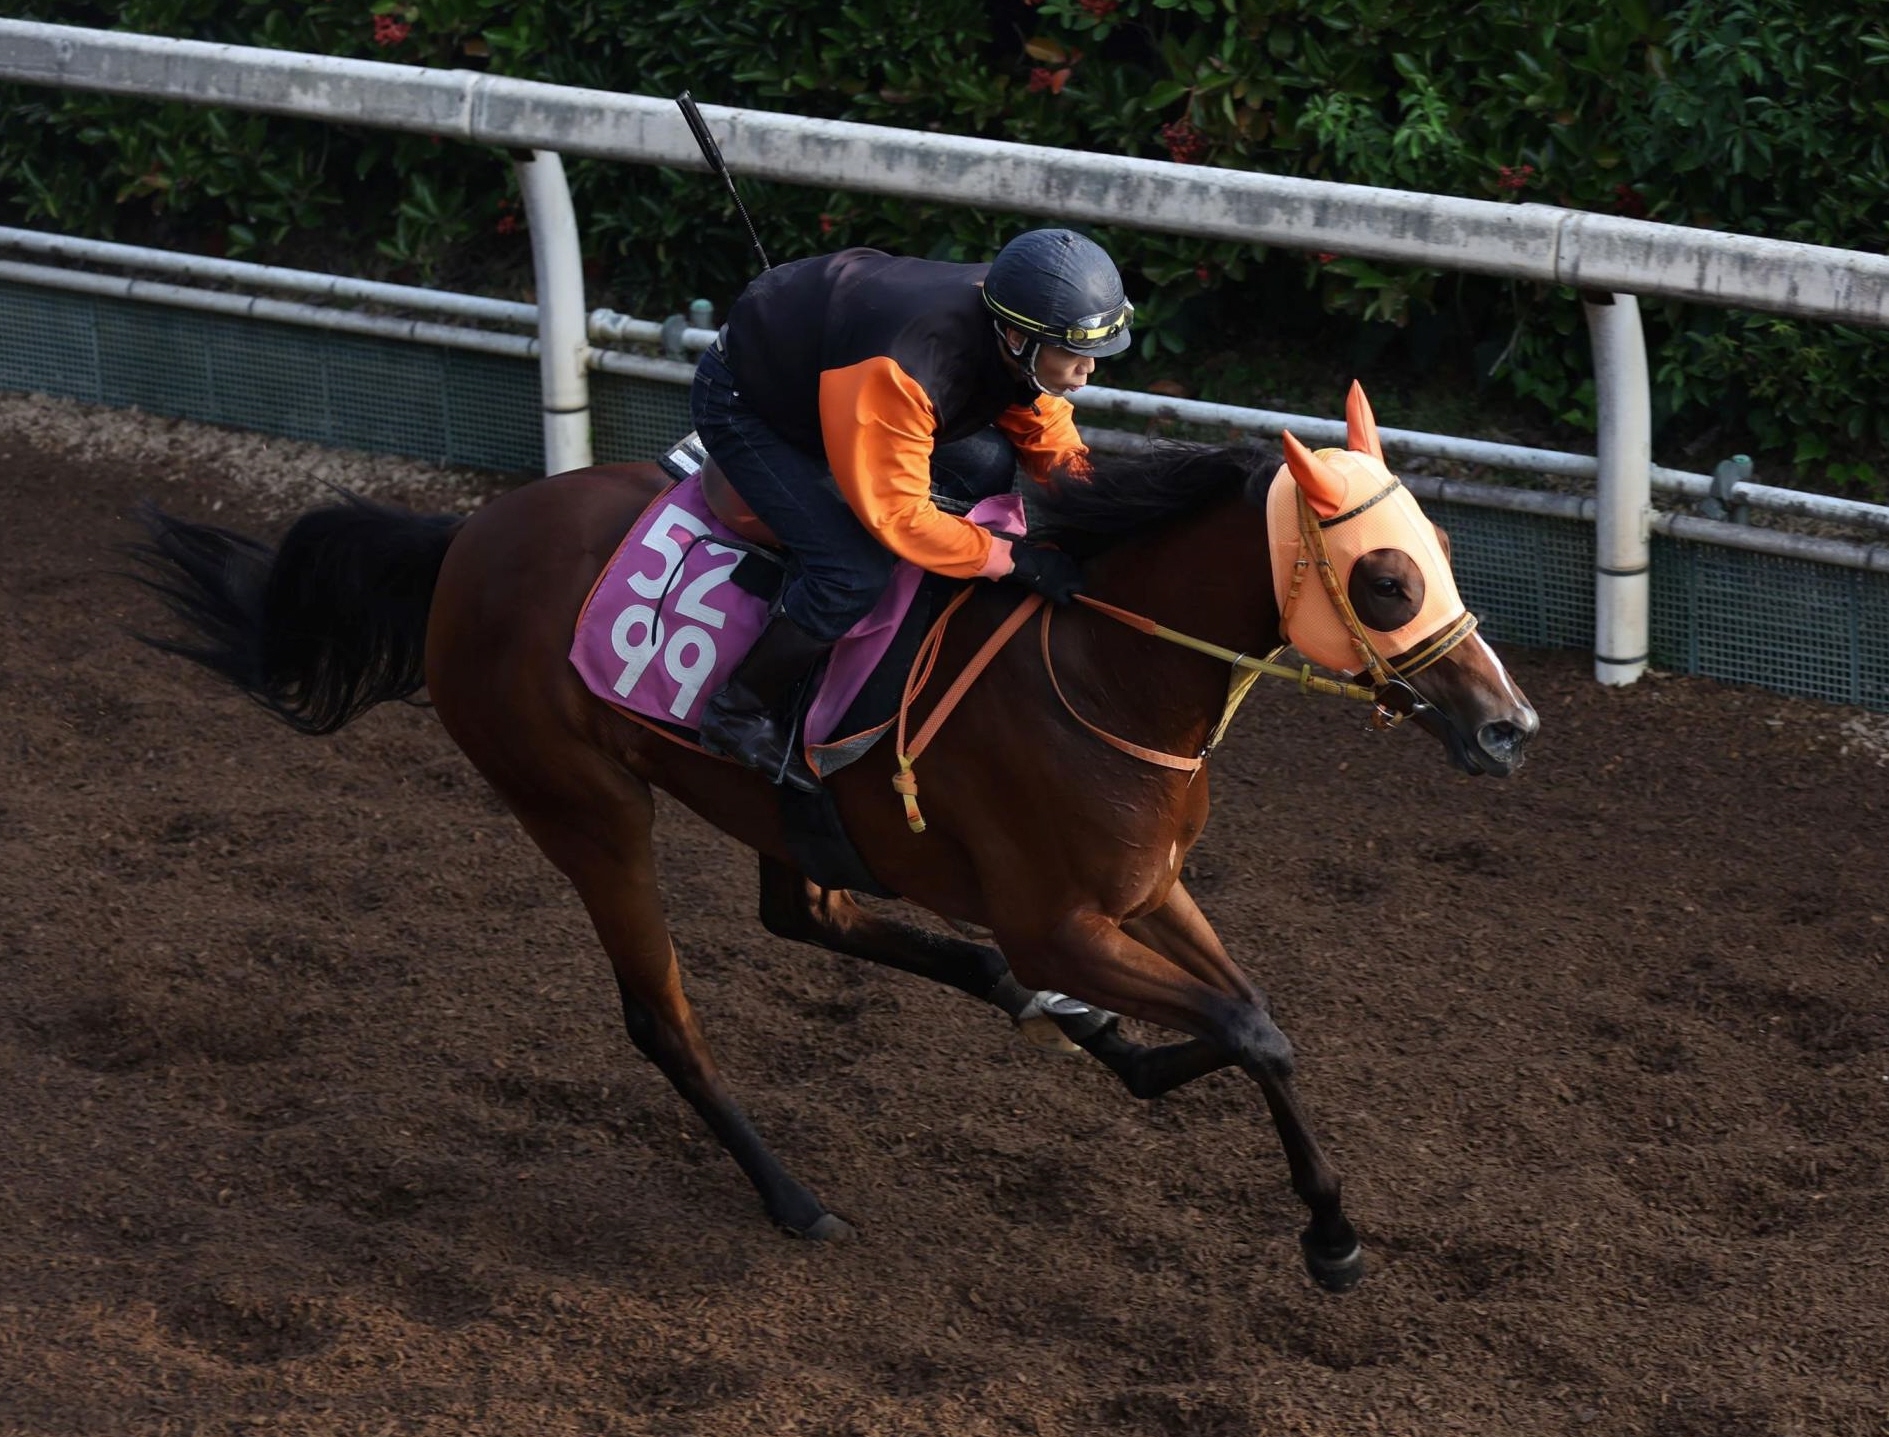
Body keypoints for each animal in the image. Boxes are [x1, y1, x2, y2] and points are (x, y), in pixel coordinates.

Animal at [131, 381, 1538, 1292]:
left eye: (1441, 546)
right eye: (1385, 581)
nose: (1509, 726)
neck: (1100, 670)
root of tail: (469, 532)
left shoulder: (1145, 891)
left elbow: (1257, 1021)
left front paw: (1300, 1203)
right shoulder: (1059, 917)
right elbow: (1238, 1026)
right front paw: (1322, 1232)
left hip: (774, 808)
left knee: (810, 914)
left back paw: (1040, 1017)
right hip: (579, 806)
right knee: (663, 1015)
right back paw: (794, 1200)